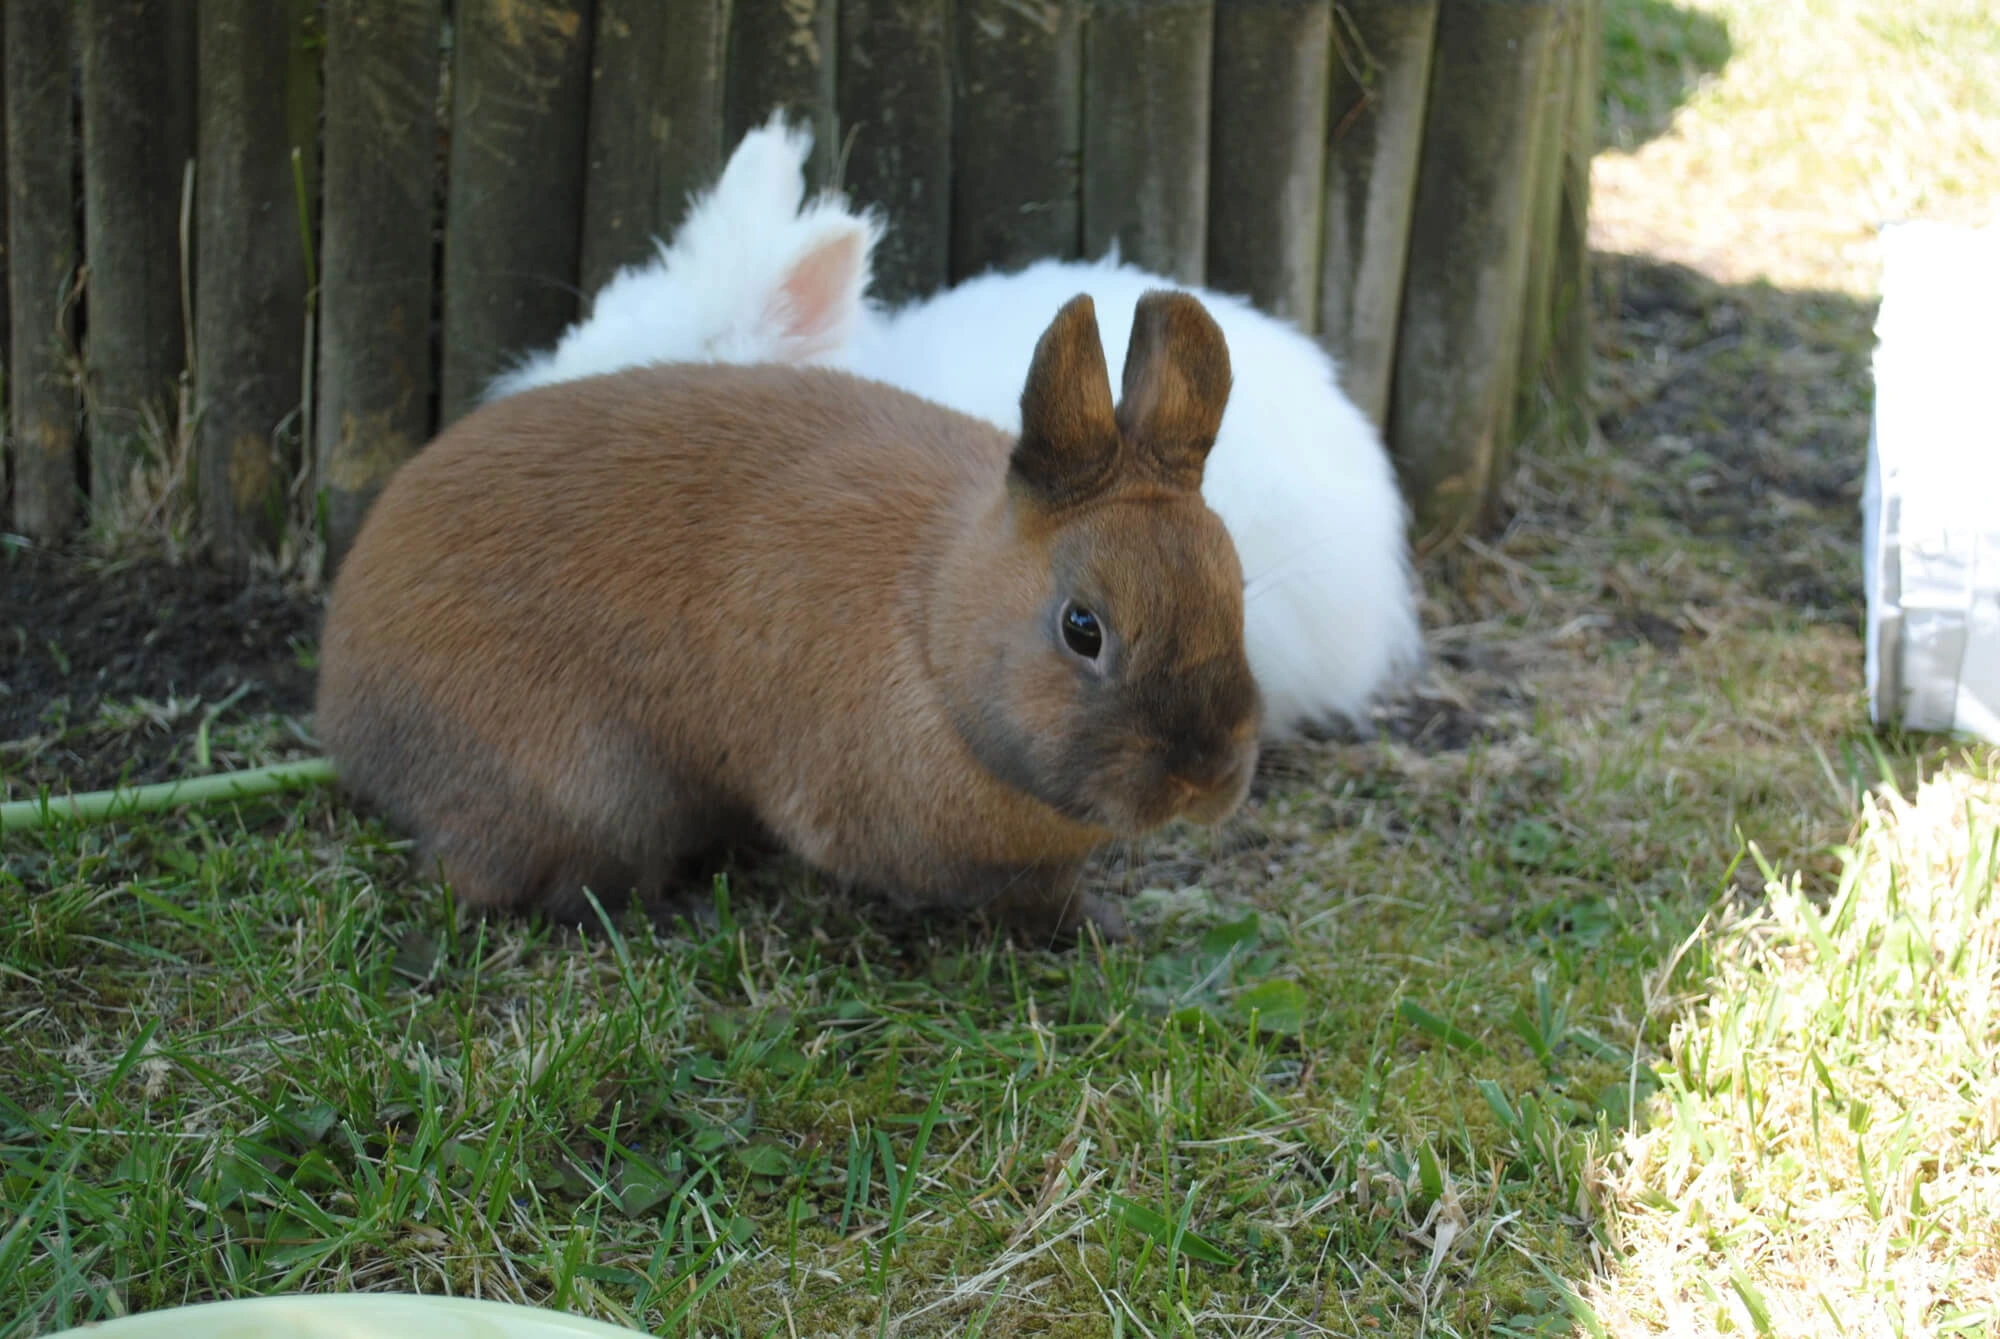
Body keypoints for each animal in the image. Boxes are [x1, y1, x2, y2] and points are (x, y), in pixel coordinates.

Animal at [318, 291, 1263, 944]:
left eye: (1237, 589)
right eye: (1082, 628)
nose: (1202, 774)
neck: (931, 623)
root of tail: (342, 690)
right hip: (592, 788)